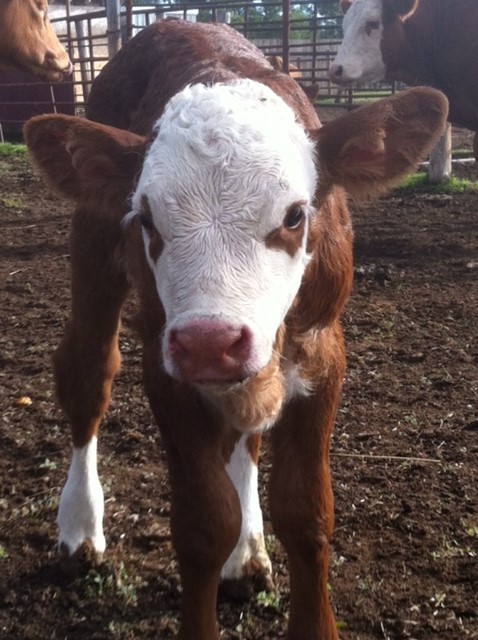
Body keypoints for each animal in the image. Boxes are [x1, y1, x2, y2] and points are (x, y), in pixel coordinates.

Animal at [24, 19, 447, 640]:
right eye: (146, 218)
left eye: (295, 215)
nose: (209, 341)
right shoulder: (167, 366)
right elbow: (203, 522)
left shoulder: (323, 354)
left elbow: (306, 512)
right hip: (93, 243)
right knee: (88, 373)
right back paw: (79, 527)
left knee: (246, 434)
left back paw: (247, 554)